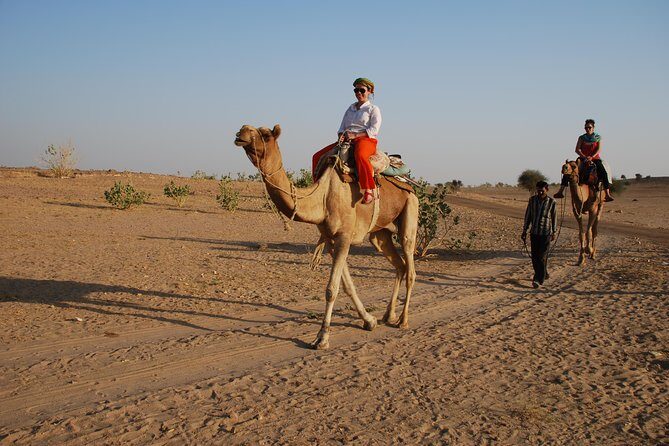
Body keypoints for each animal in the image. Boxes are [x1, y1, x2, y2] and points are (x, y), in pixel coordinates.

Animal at [233, 125, 419, 349]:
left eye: (266, 134)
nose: (241, 132)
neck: (322, 197)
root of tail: (408, 183)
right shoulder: (331, 240)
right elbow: (346, 286)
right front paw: (369, 321)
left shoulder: (344, 236)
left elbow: (332, 289)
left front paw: (322, 337)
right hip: (379, 233)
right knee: (399, 265)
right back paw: (388, 315)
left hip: (410, 208)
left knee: (410, 264)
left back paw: (403, 320)